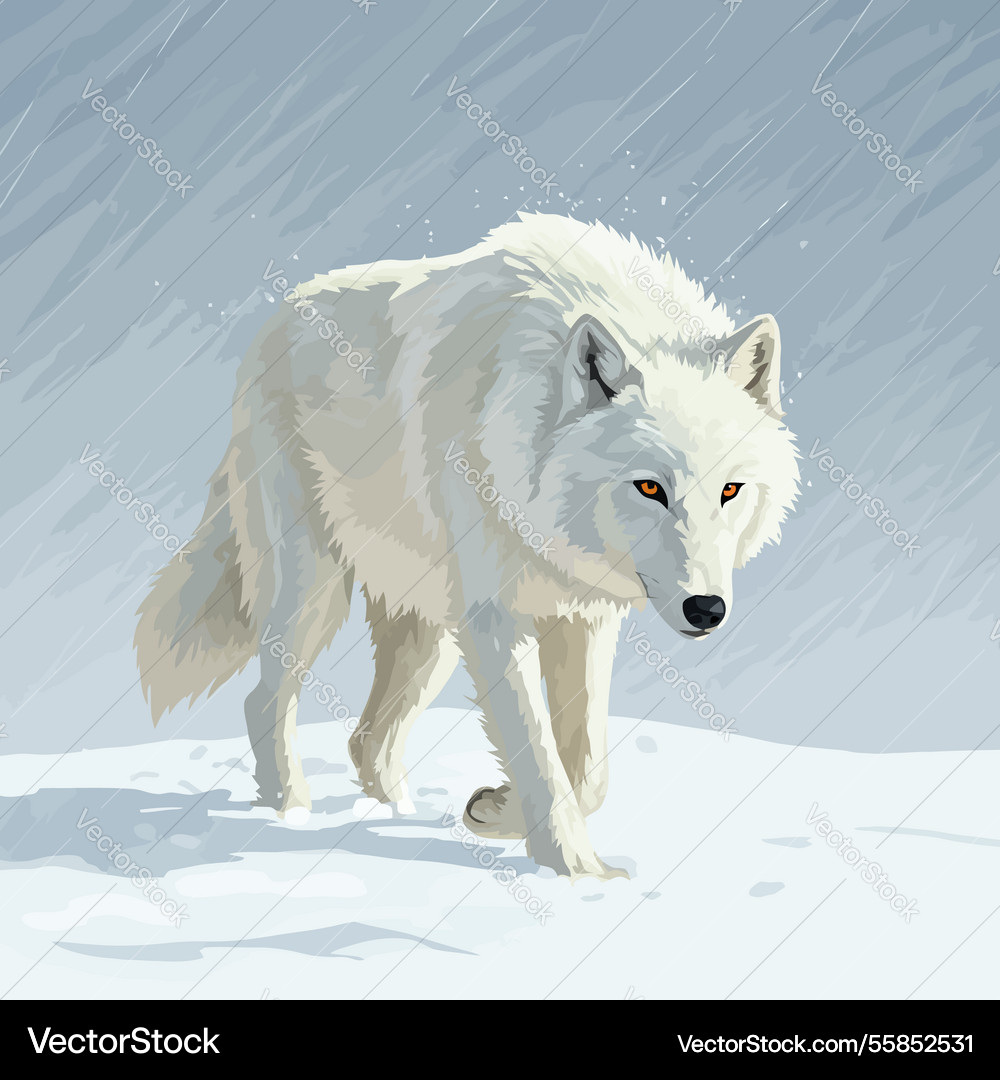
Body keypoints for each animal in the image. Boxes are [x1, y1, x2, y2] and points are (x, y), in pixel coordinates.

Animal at [135, 213, 799, 880]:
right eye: (649, 488)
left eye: (731, 490)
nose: (706, 610)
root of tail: (277, 316)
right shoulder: (494, 618)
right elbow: (539, 753)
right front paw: (578, 874)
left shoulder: (583, 615)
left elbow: (588, 770)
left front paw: (498, 814)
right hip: (314, 593)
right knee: (264, 699)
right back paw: (291, 813)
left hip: (430, 633)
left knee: (367, 736)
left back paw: (391, 814)